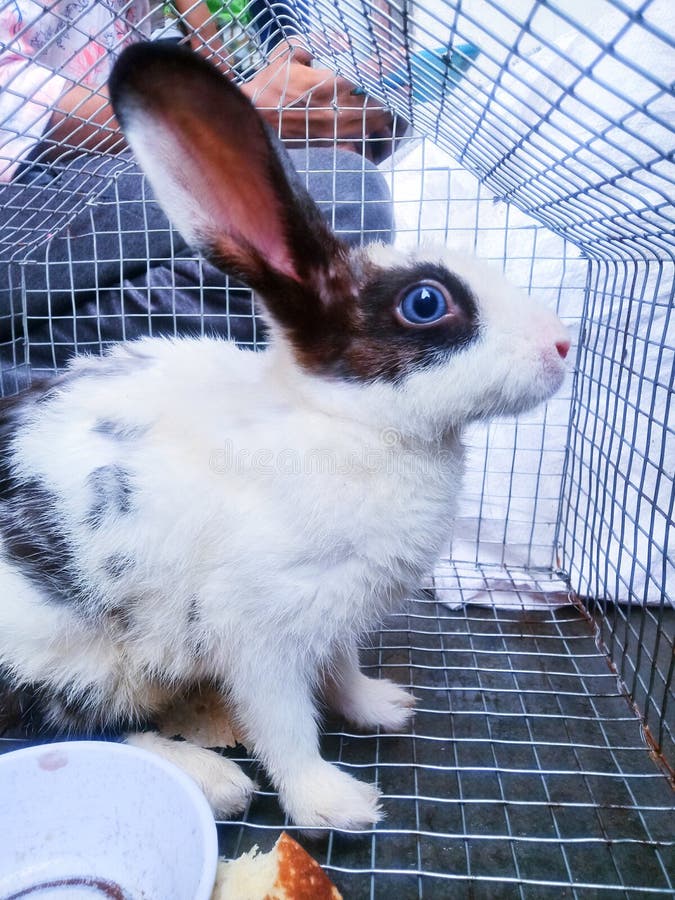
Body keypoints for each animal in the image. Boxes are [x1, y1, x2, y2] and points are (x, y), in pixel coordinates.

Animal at [0, 42, 571, 831]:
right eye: (426, 303)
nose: (563, 344)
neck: (345, 421)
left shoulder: (334, 619)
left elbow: (341, 669)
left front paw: (381, 706)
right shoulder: (259, 632)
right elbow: (285, 723)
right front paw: (334, 803)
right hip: (65, 658)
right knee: (52, 731)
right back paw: (213, 779)